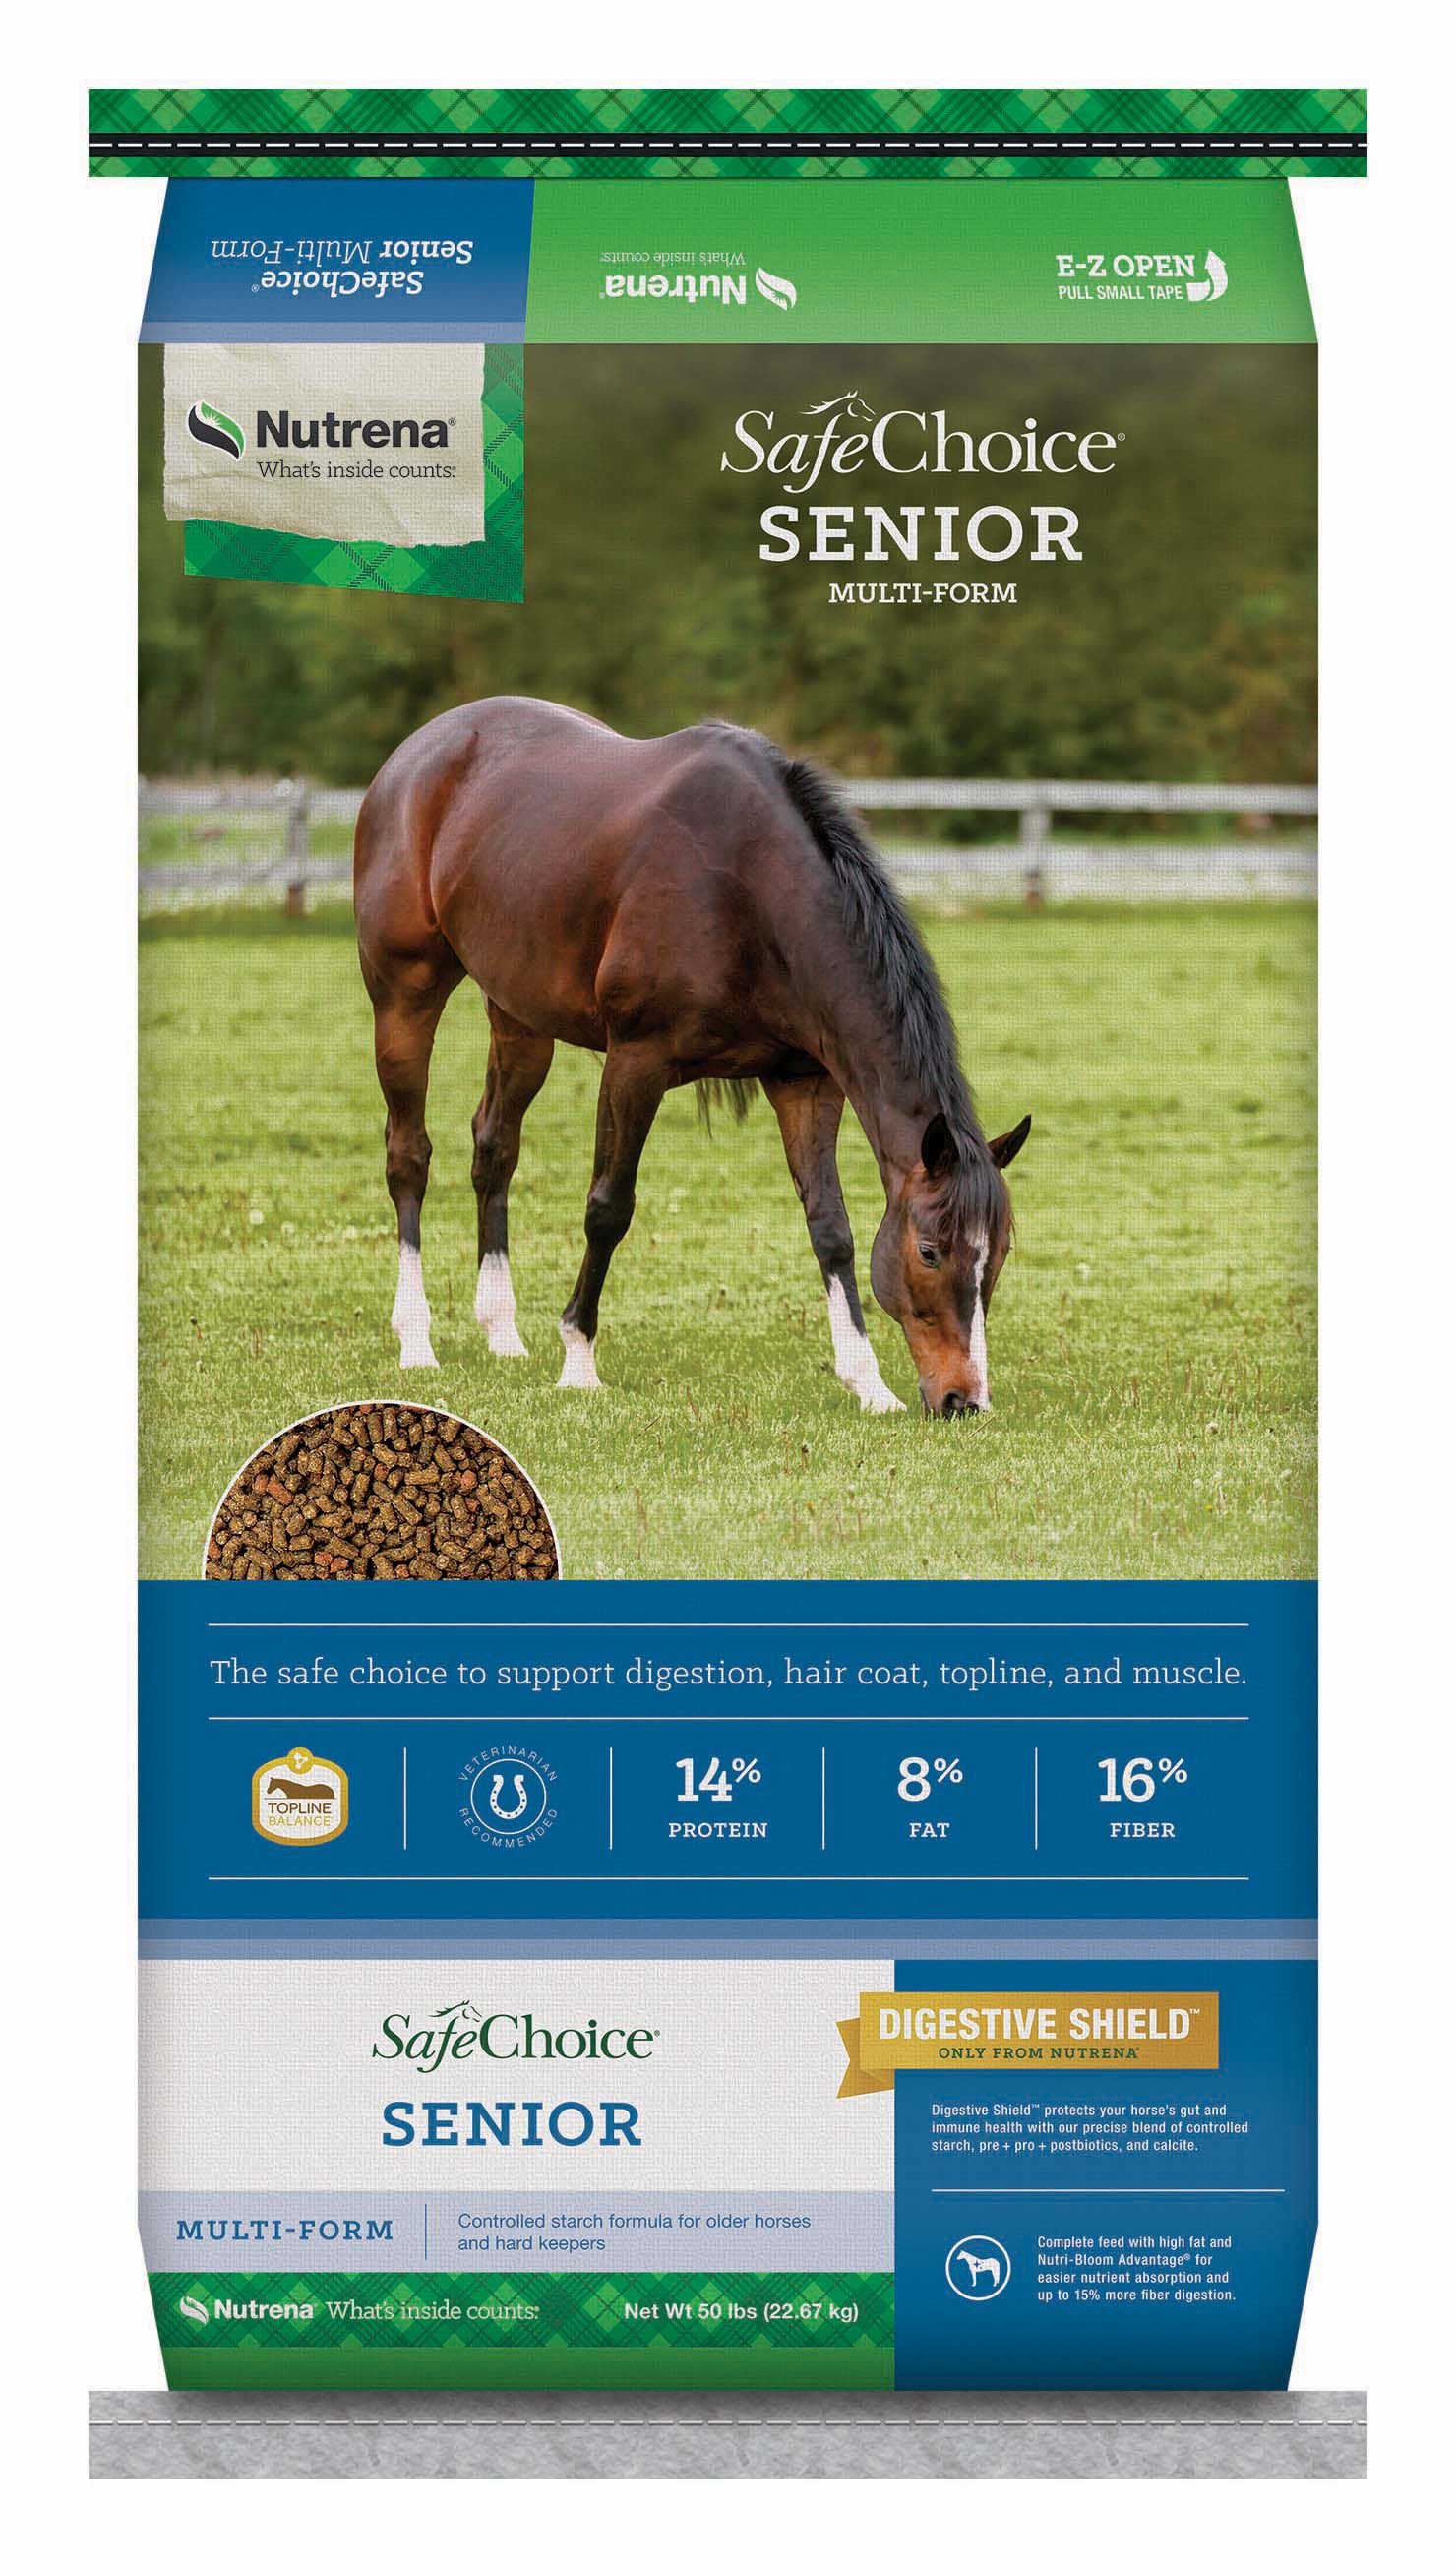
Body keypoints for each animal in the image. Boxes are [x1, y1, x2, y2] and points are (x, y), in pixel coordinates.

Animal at [353, 696, 1030, 1419]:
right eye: (930, 1252)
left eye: (998, 1254)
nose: (964, 1398)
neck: (749, 890)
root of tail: (417, 754)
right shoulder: (635, 1064)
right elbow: (608, 1208)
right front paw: (579, 1359)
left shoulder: (804, 1082)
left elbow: (832, 1228)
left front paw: (868, 1384)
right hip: (405, 997)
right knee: (408, 1155)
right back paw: (416, 1340)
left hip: (520, 1018)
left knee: (495, 1148)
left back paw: (502, 1331)